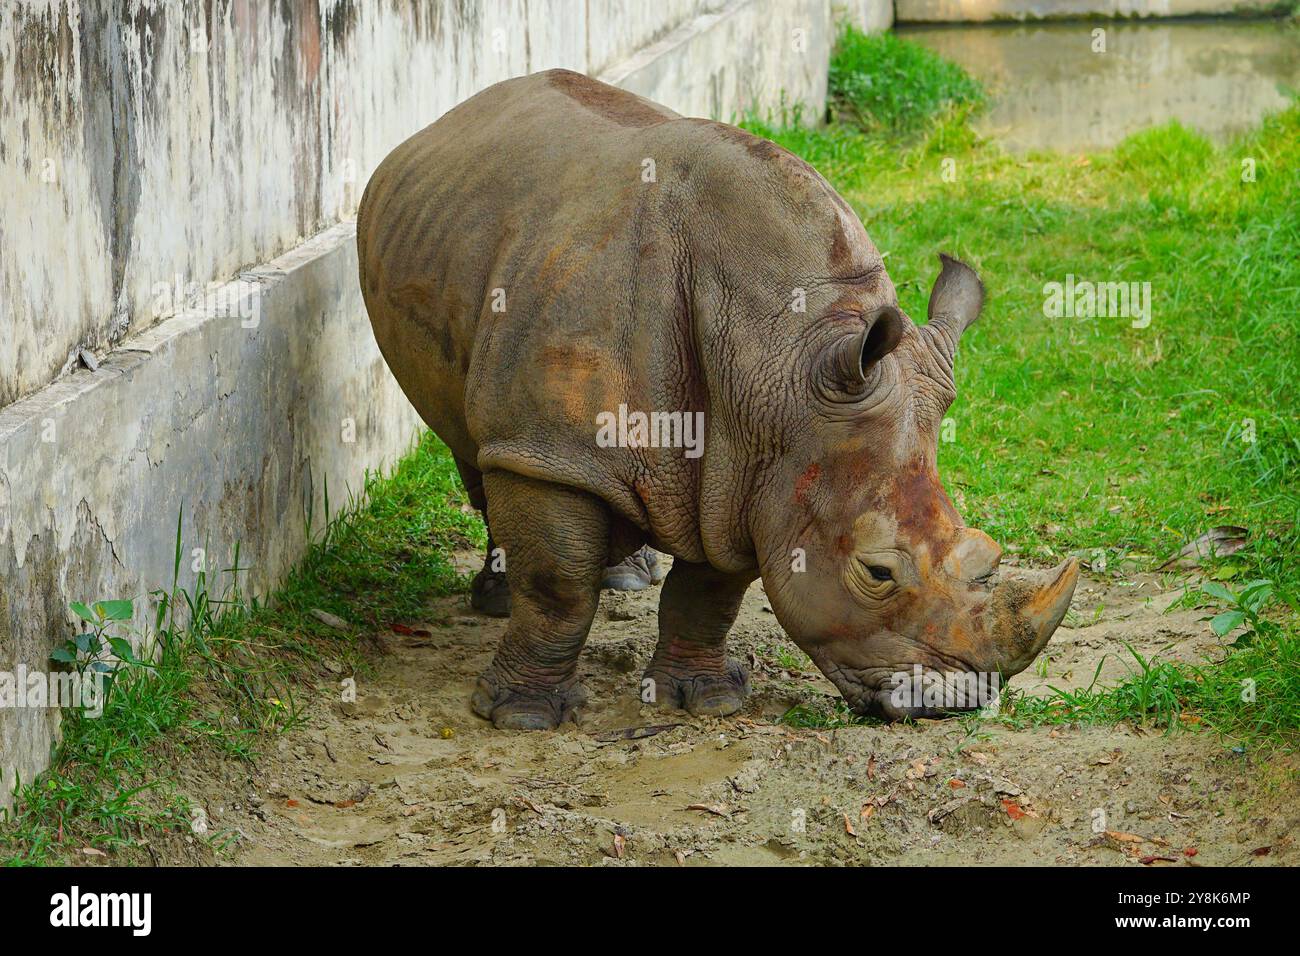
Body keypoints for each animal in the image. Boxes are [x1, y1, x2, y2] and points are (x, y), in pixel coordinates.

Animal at [357, 70, 1078, 729]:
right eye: (875, 573)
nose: (956, 701)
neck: (785, 356)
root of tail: (457, 112)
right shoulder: (549, 443)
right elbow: (557, 583)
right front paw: (521, 717)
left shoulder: (756, 468)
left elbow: (710, 591)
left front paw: (706, 701)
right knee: (480, 452)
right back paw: (502, 603)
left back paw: (628, 577)